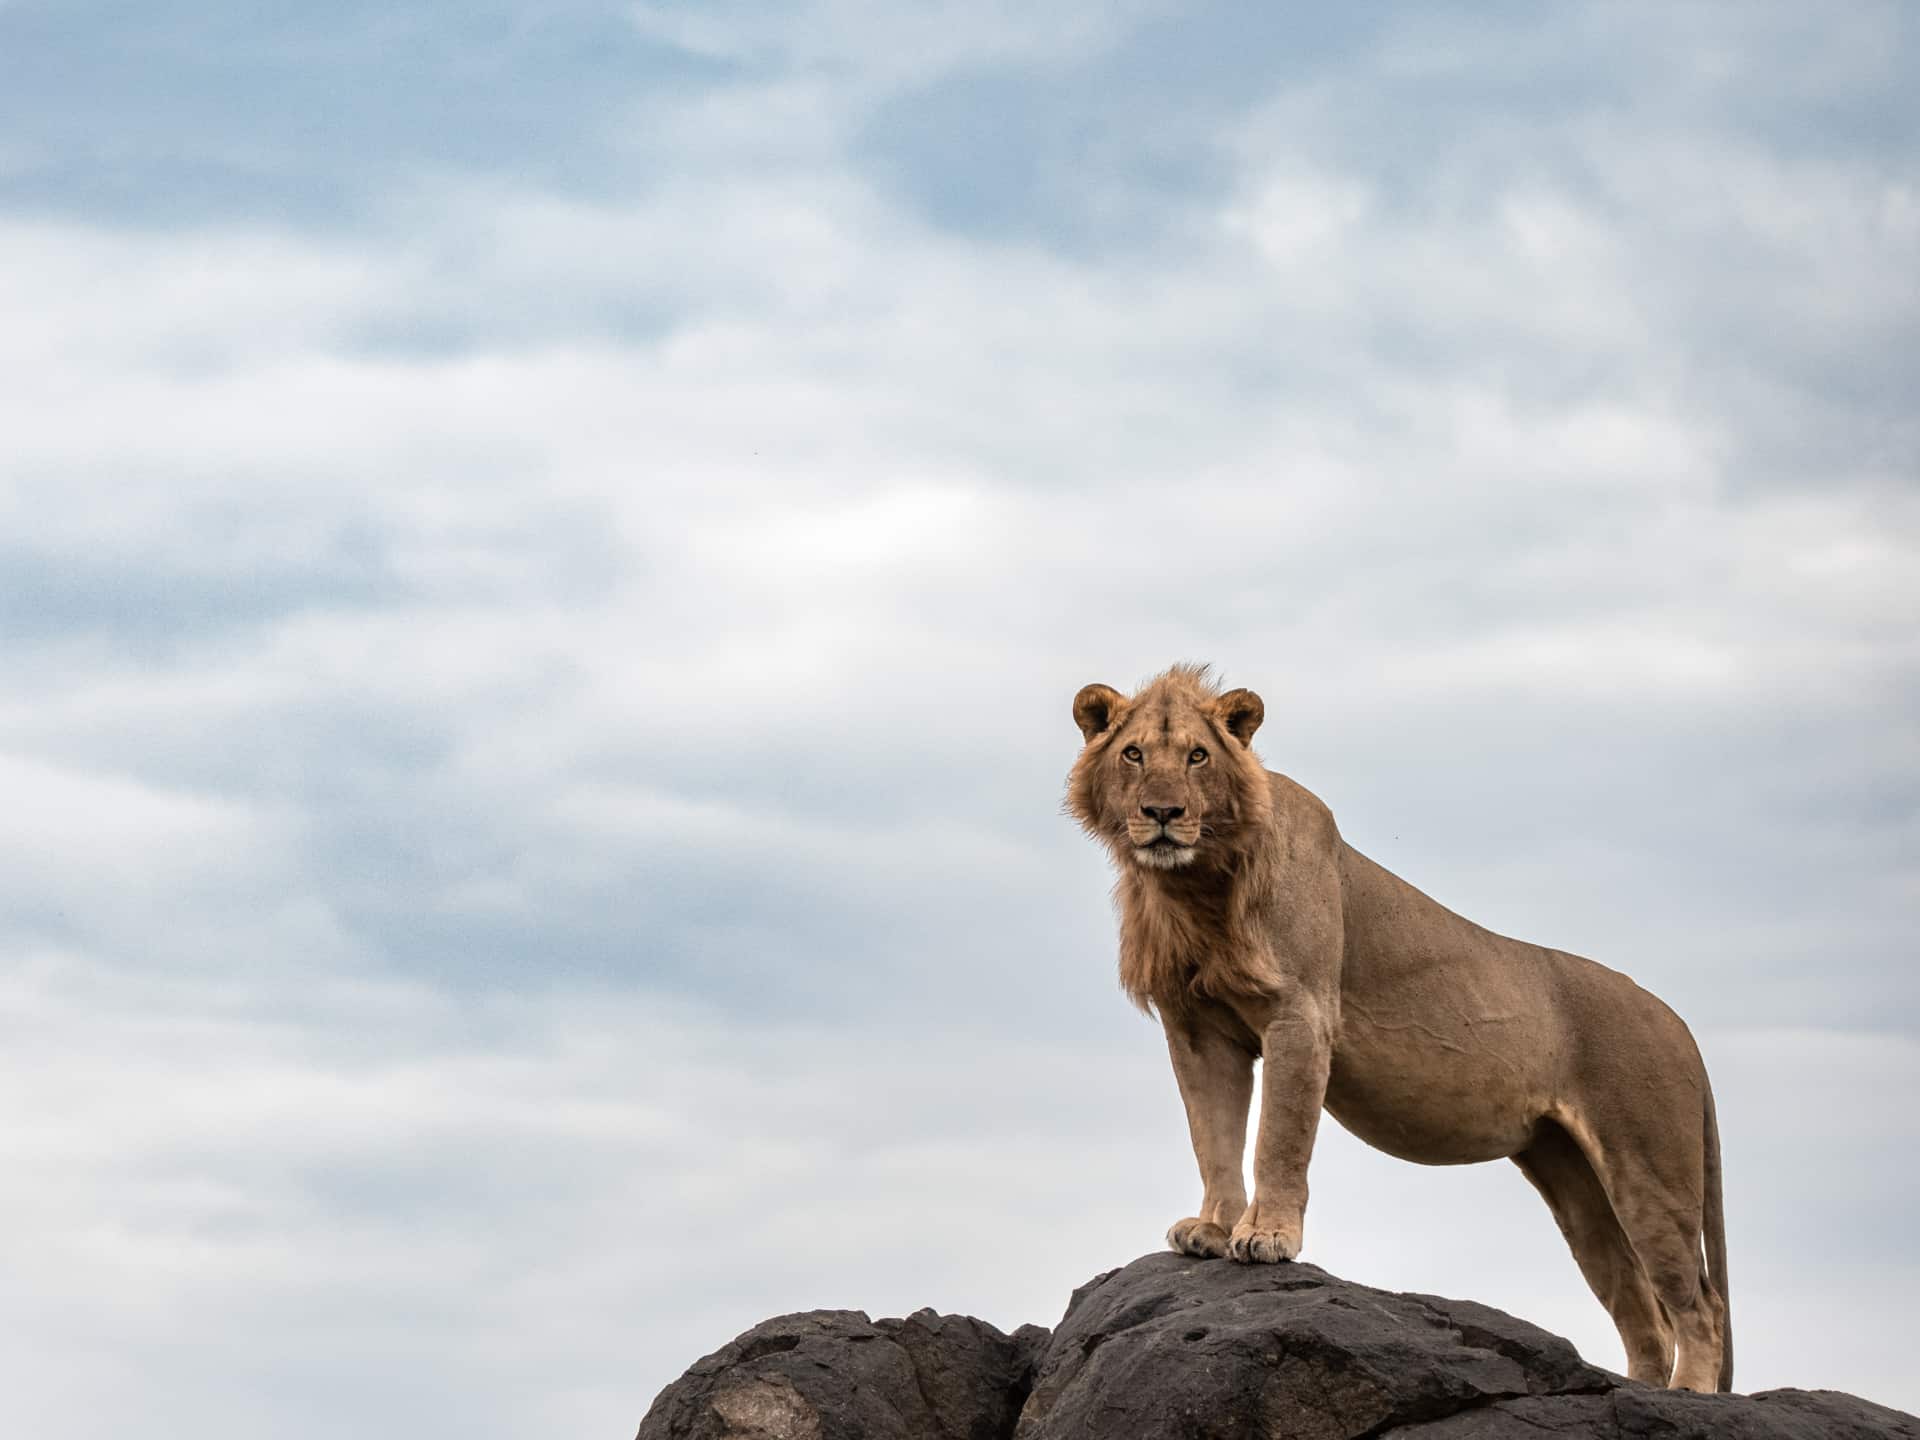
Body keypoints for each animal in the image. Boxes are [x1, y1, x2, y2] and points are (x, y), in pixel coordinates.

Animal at [1066, 664, 1732, 1392]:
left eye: (1197, 756)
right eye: (1134, 754)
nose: (1162, 813)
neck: (1196, 886)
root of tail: (1680, 1024)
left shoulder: (1302, 1014)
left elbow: (1277, 1138)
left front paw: (1267, 1237)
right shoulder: (1197, 1031)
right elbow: (1212, 1136)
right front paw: (1212, 1230)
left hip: (1649, 1167)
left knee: (1700, 1304)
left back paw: (1688, 1394)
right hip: (1575, 1182)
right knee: (1641, 1308)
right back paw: (1639, 1389)